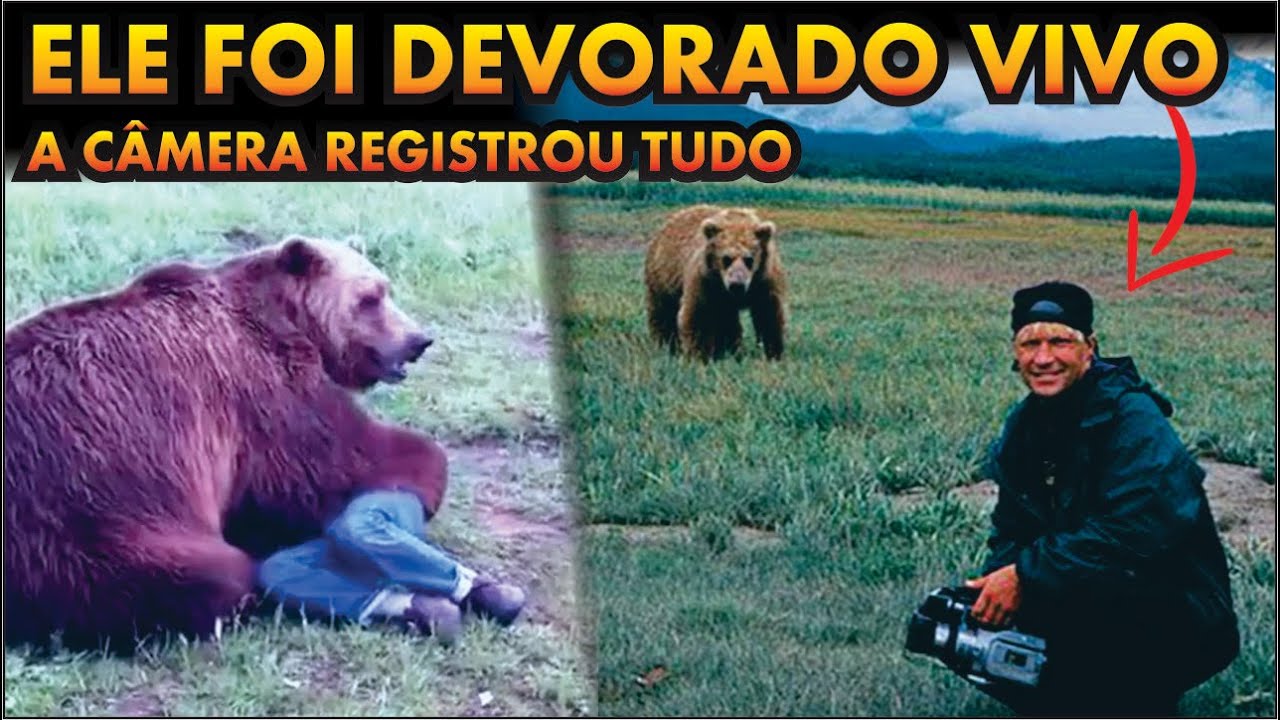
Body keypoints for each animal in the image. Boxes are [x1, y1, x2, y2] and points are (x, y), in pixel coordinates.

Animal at [4, 236, 446, 652]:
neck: (290, 319)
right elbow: (330, 463)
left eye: (386, 289)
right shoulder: (258, 385)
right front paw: (423, 470)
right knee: (195, 576)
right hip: (88, 506)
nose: (418, 340)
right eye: (370, 297)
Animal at [644, 204, 787, 361]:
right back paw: (666, 345)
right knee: (662, 313)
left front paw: (773, 353)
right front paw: (699, 356)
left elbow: (769, 314)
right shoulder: (705, 280)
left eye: (749, 259)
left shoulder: (764, 280)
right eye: (726, 258)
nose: (737, 285)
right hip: (663, 278)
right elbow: (698, 315)